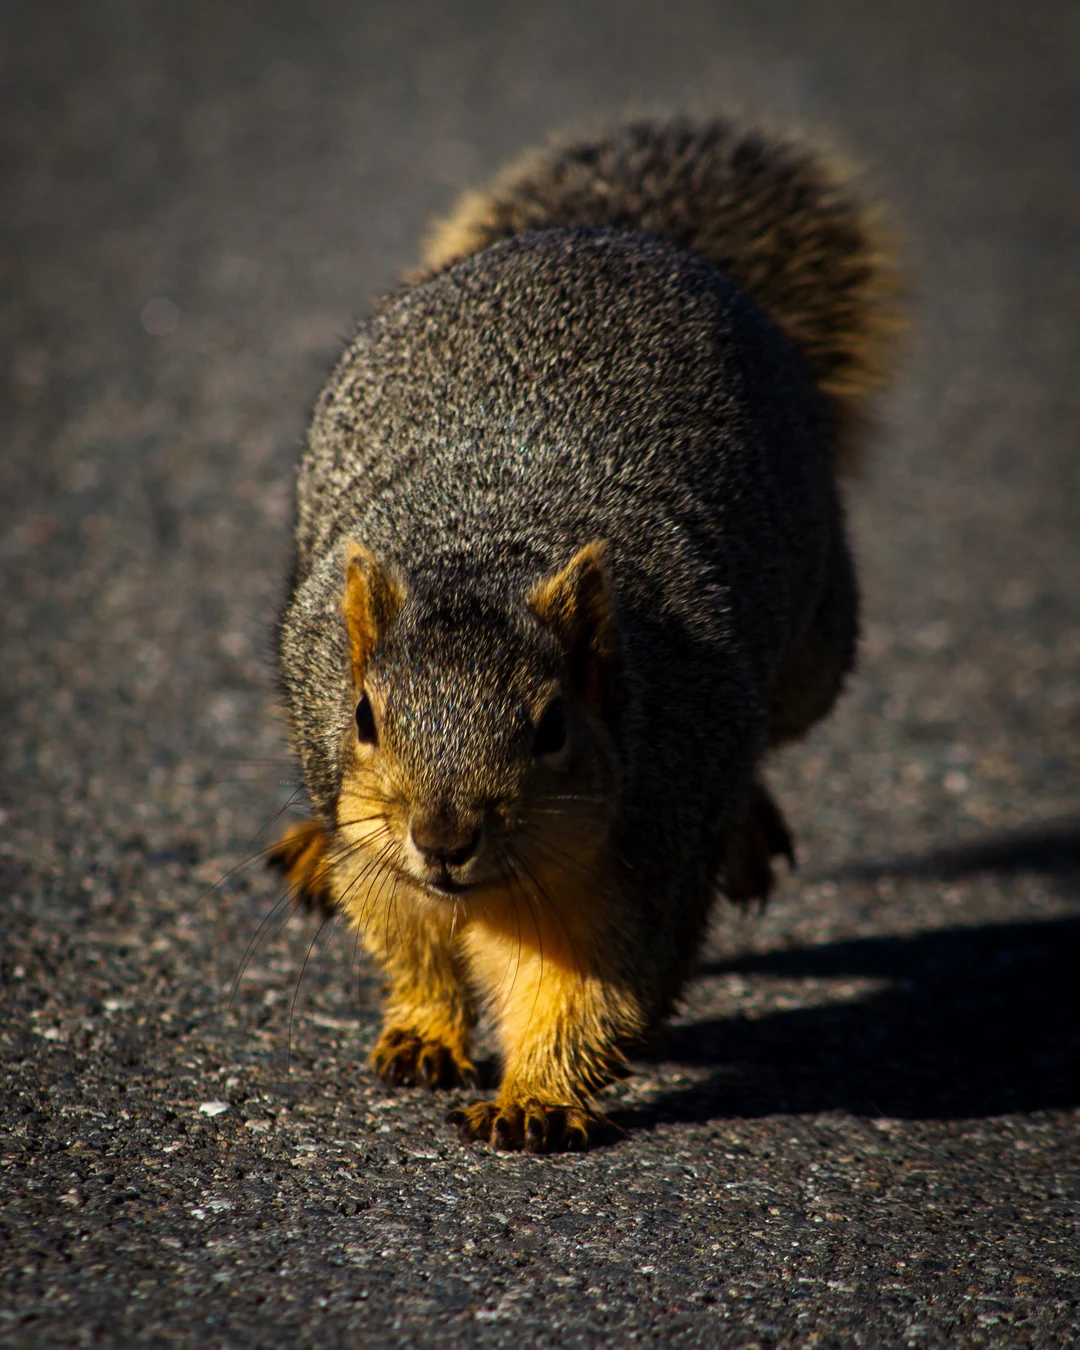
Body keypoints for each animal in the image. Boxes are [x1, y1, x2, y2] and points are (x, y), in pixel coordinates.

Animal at [269, 117, 900, 1152]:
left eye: (552, 727)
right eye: (362, 718)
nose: (443, 839)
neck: (492, 545)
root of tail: (614, 237)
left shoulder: (655, 839)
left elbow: (592, 991)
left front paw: (536, 1100)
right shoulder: (364, 817)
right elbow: (411, 940)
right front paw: (423, 1033)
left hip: (816, 650)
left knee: (773, 733)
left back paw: (751, 829)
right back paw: (305, 852)